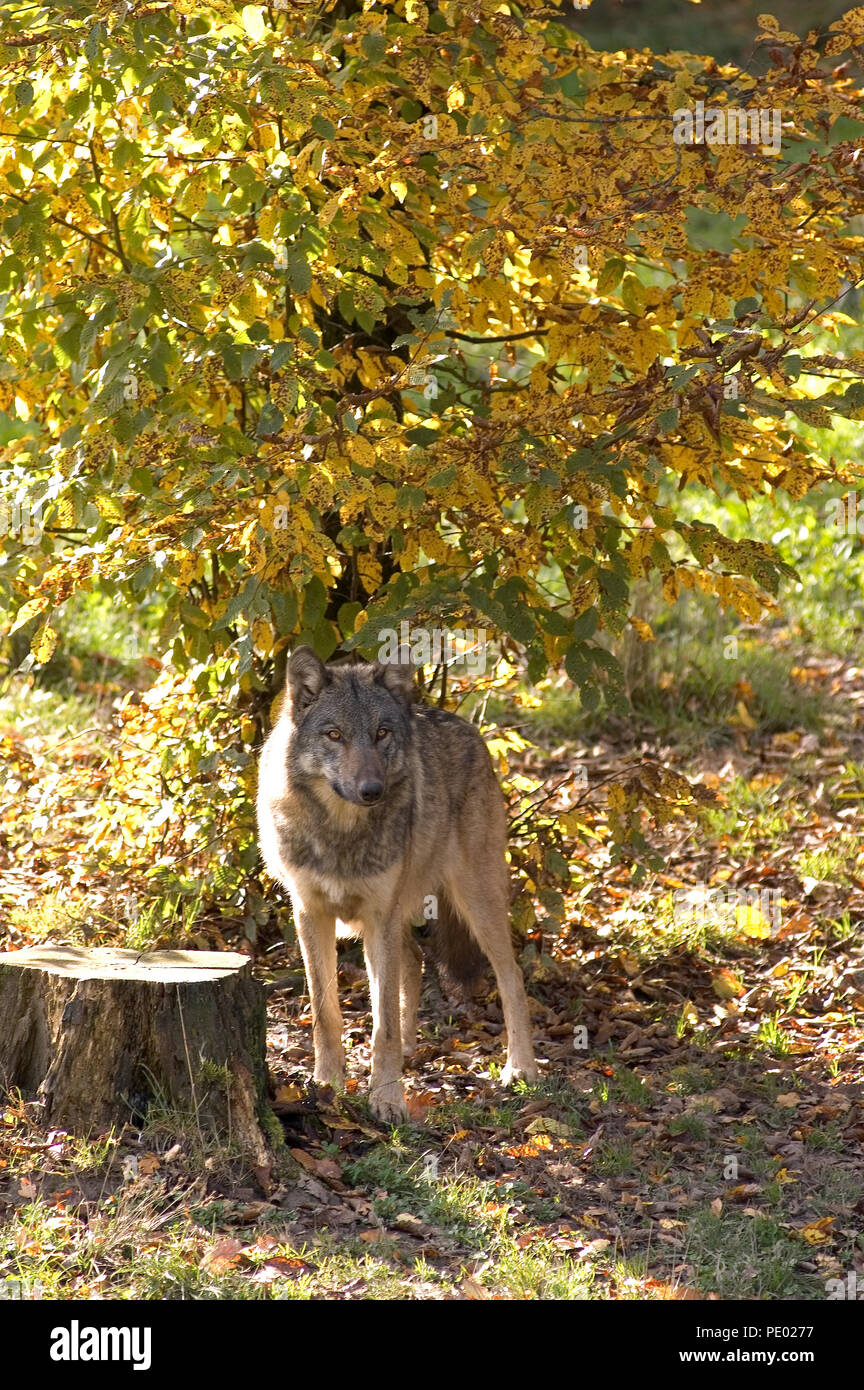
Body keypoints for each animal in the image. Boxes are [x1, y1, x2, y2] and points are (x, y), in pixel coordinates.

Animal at [256, 647, 538, 1122]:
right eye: (334, 735)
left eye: (382, 733)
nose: (372, 790)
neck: (342, 834)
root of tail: (469, 729)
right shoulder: (310, 913)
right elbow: (325, 1014)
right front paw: (327, 1084)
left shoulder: (379, 915)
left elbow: (382, 1023)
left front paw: (386, 1098)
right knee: (414, 960)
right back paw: (409, 1050)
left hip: (474, 901)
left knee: (510, 976)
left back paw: (521, 1068)